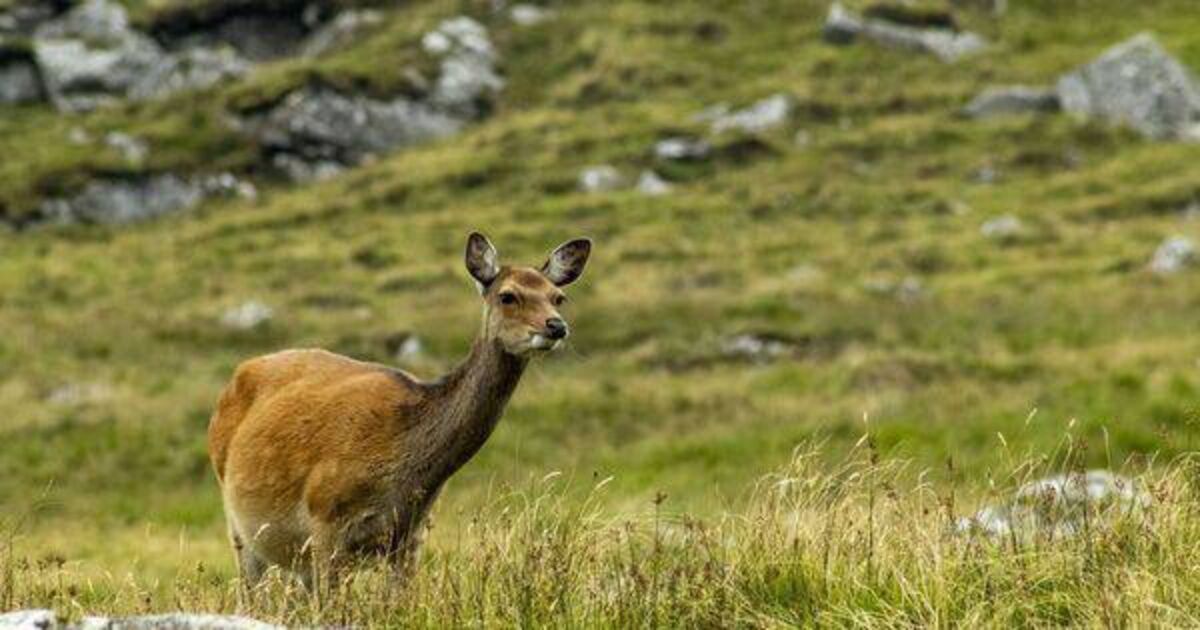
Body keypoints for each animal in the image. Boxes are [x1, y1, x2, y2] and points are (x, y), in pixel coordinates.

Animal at [207, 232, 591, 587]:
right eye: (508, 295)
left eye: (558, 297)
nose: (556, 326)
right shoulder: (325, 520)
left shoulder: (410, 536)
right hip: (239, 524)